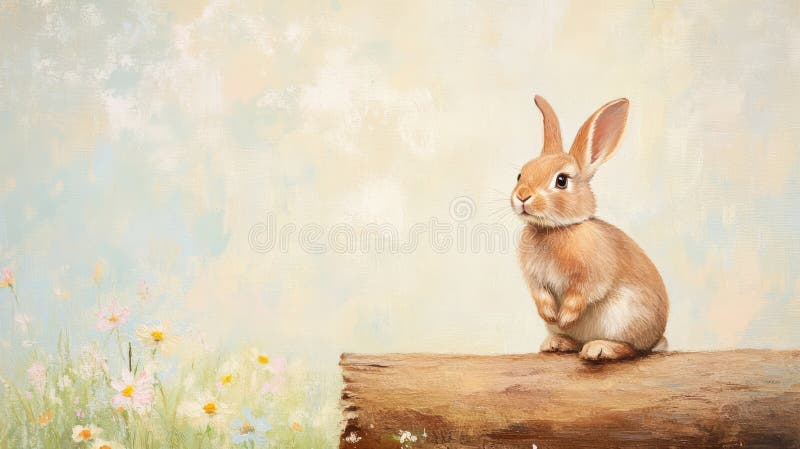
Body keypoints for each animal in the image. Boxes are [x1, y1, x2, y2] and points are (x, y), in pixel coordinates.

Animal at [512, 95, 668, 361]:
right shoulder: (536, 280)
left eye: (561, 181)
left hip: (626, 317)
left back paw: (599, 348)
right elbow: (541, 296)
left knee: (632, 349)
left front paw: (564, 318)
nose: (522, 196)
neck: (555, 229)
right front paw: (551, 316)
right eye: (520, 175)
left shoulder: (591, 276)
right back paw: (557, 342)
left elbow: (580, 296)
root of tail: (658, 337)